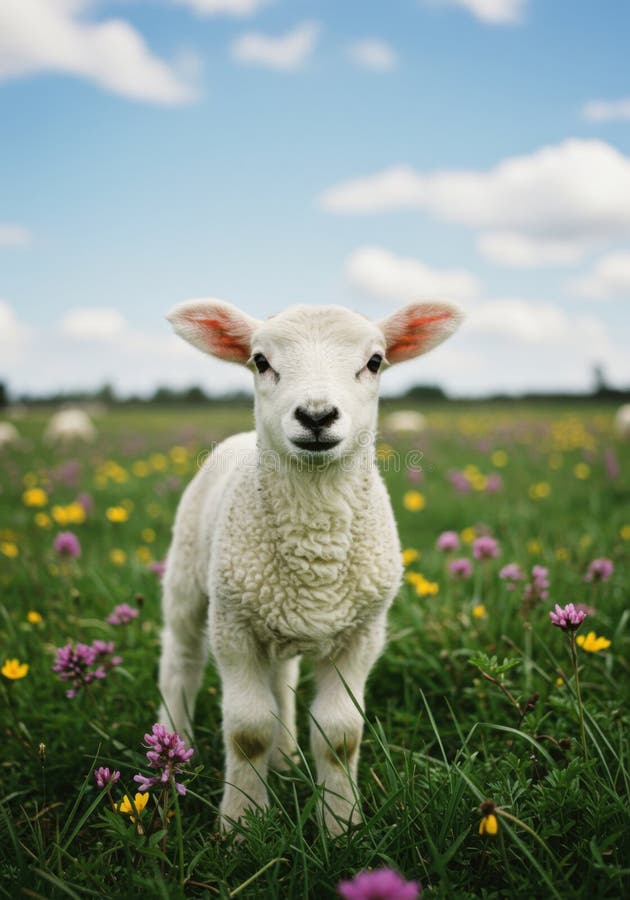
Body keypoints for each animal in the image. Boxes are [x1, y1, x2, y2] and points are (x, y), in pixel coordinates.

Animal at [158, 299, 463, 835]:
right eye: (260, 361)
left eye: (375, 361)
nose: (316, 415)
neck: (316, 553)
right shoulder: (233, 627)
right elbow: (247, 731)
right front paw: (243, 825)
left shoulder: (361, 634)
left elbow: (341, 735)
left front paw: (341, 825)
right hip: (189, 579)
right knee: (180, 661)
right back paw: (173, 744)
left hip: (277, 615)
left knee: (282, 680)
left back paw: (285, 758)